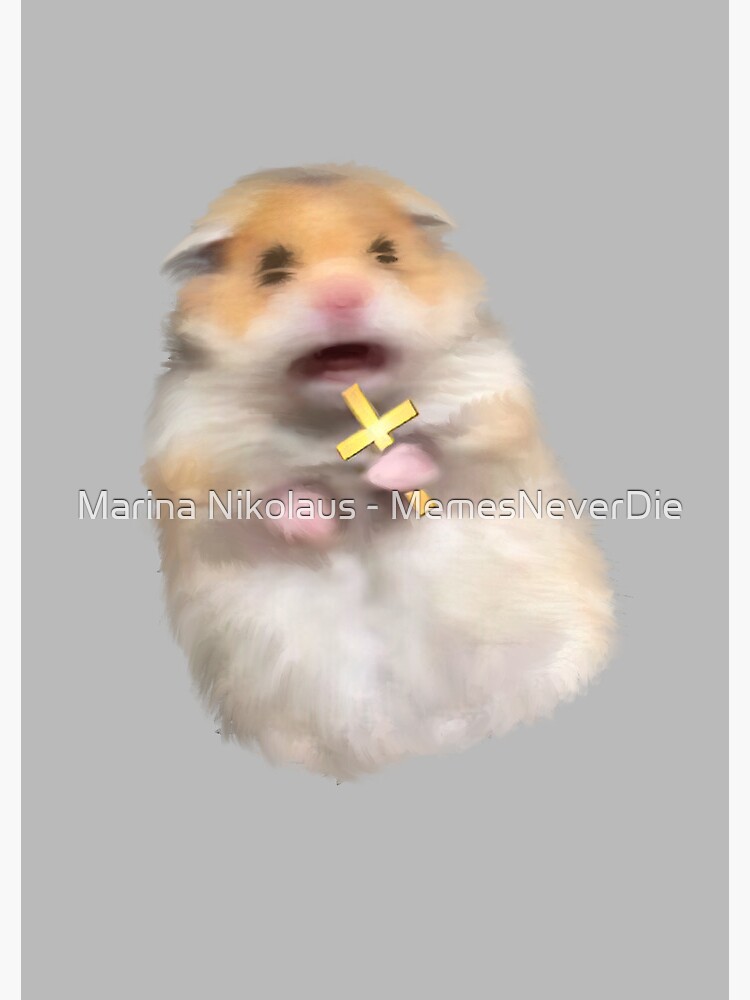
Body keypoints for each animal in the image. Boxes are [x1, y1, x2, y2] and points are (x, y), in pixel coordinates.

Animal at [145, 164, 614, 779]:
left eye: (386, 254)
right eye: (272, 268)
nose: (344, 296)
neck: (333, 423)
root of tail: (414, 749)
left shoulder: (496, 417)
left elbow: (440, 455)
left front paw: (387, 472)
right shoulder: (192, 468)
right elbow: (258, 501)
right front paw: (316, 515)